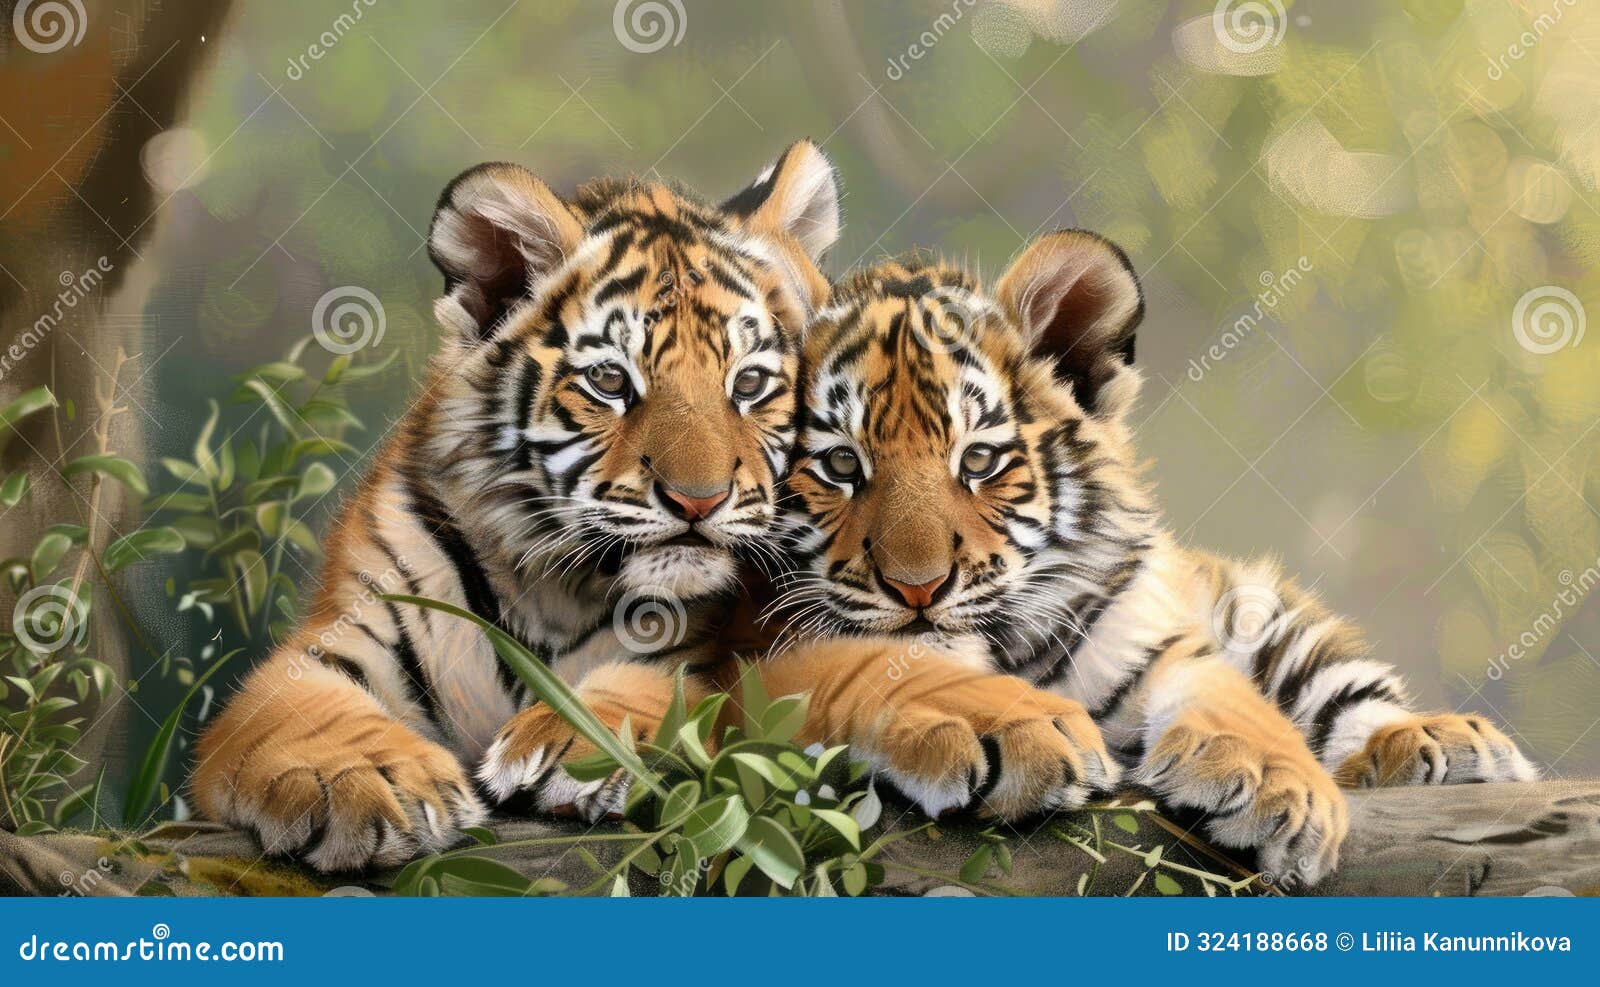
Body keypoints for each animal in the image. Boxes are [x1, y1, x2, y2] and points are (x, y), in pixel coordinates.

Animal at [192, 140, 844, 872]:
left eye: (750, 383)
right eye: (610, 380)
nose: (698, 500)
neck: (553, 588)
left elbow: (676, 685)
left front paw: (575, 741)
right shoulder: (335, 640)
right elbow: (307, 710)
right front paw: (364, 778)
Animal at [767, 232, 1538, 887]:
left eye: (979, 460)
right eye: (841, 464)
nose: (917, 587)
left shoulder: (1155, 640)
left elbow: (1232, 698)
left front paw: (1272, 783)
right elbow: (868, 667)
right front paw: (1015, 728)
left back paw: (1441, 746)